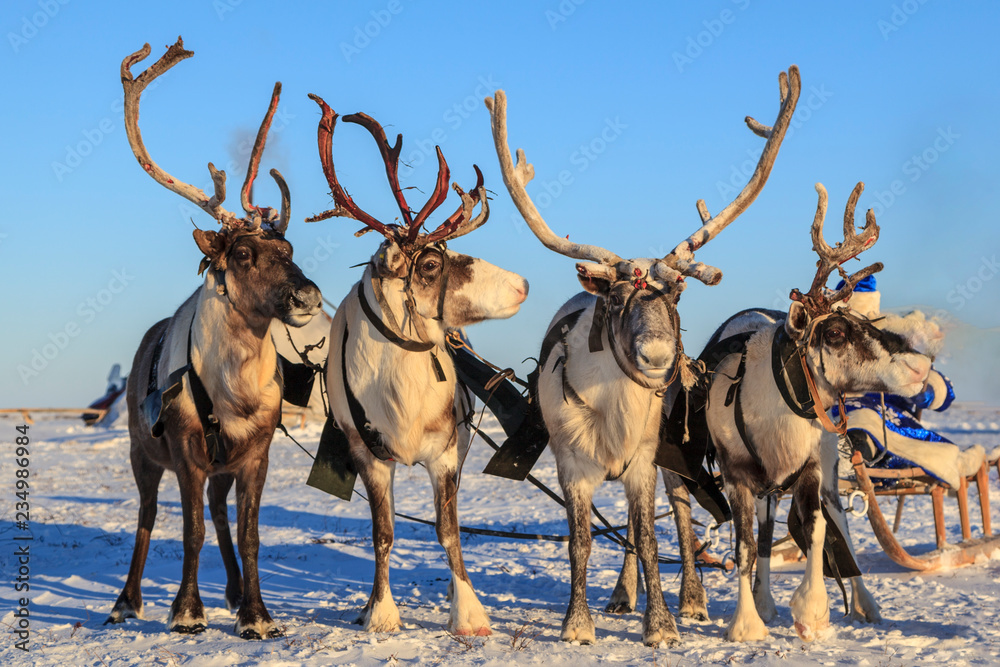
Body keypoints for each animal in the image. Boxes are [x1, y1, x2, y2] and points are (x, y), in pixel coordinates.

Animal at [105, 38, 322, 639]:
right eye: (243, 253)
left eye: (289, 250)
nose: (309, 296)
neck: (233, 393)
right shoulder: (187, 455)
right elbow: (190, 532)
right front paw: (186, 611)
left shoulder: (256, 454)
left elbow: (249, 535)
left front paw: (257, 615)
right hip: (141, 451)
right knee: (147, 516)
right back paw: (126, 601)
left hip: (221, 470)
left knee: (222, 513)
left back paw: (232, 591)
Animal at [306, 94, 528, 636]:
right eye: (429, 265)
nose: (522, 285)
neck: (399, 395)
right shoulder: (369, 457)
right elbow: (383, 535)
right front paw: (380, 612)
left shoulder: (446, 455)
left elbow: (450, 533)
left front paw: (468, 613)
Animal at [484, 64, 800, 647]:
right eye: (614, 297)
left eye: (675, 293)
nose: (656, 354)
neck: (613, 411)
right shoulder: (572, 466)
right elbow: (582, 542)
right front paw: (577, 624)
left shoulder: (644, 458)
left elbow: (654, 538)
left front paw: (663, 626)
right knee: (632, 530)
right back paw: (621, 595)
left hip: (669, 452)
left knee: (671, 514)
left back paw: (691, 599)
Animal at [699, 182, 933, 642]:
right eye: (837, 332)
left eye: (868, 322)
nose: (921, 364)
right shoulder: (736, 474)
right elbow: (746, 545)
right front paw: (746, 622)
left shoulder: (809, 465)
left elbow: (818, 529)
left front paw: (813, 611)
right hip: (768, 486)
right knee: (766, 536)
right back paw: (764, 601)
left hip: (828, 464)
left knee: (839, 521)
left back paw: (864, 603)